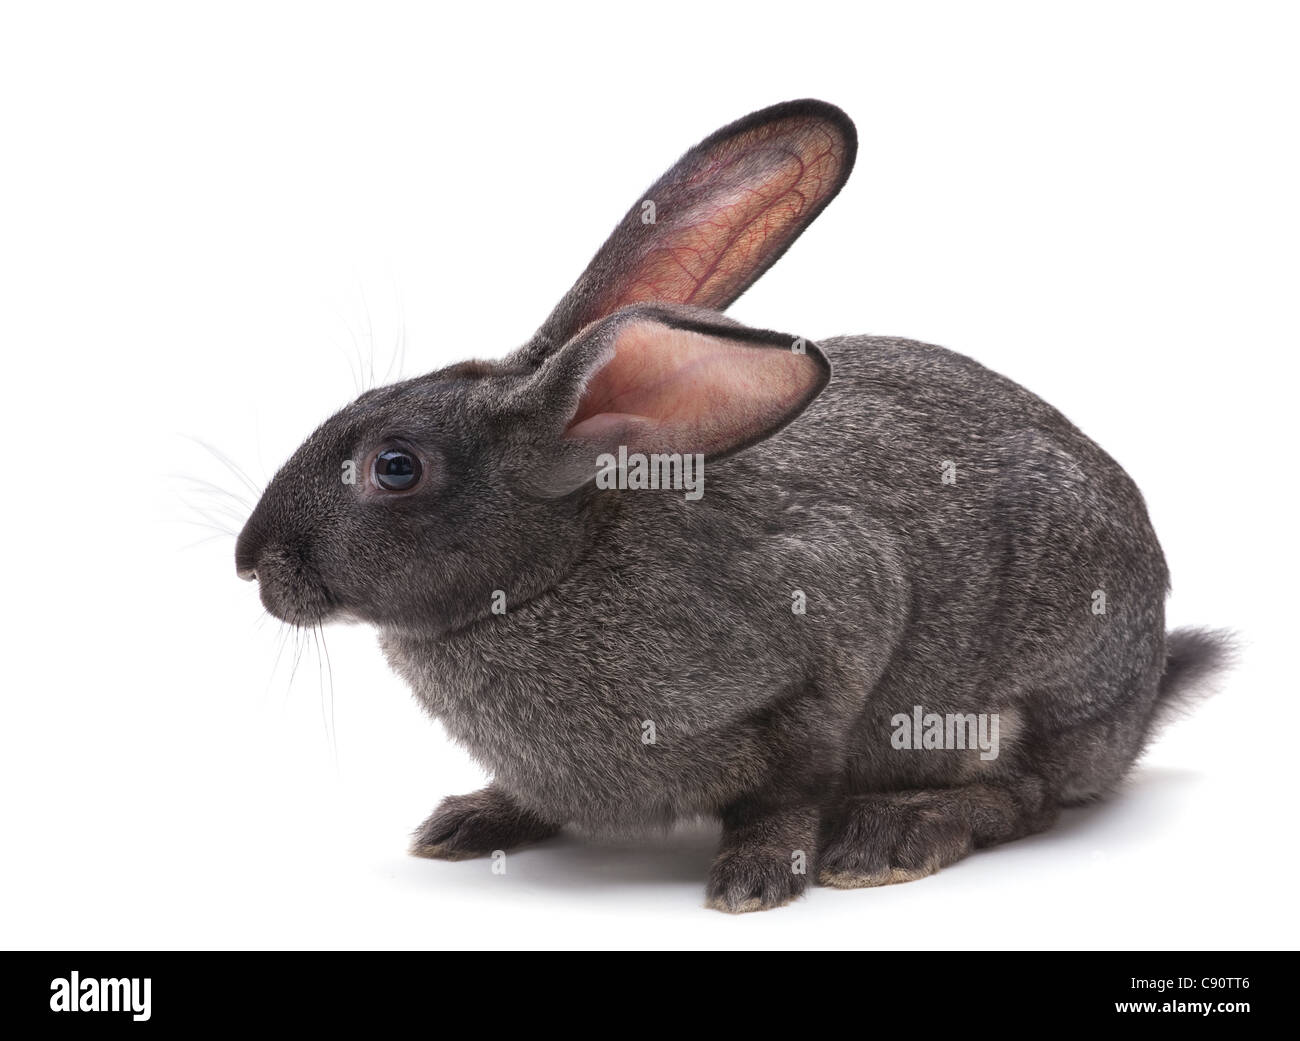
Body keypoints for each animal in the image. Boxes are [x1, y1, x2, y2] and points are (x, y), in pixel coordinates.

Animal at [234, 99, 1231, 913]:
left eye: (395, 467)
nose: (251, 563)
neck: (561, 566)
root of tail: (1144, 692)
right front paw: (471, 820)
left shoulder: (836, 619)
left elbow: (791, 780)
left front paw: (757, 875)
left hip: (1041, 684)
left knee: (1029, 795)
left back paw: (895, 833)